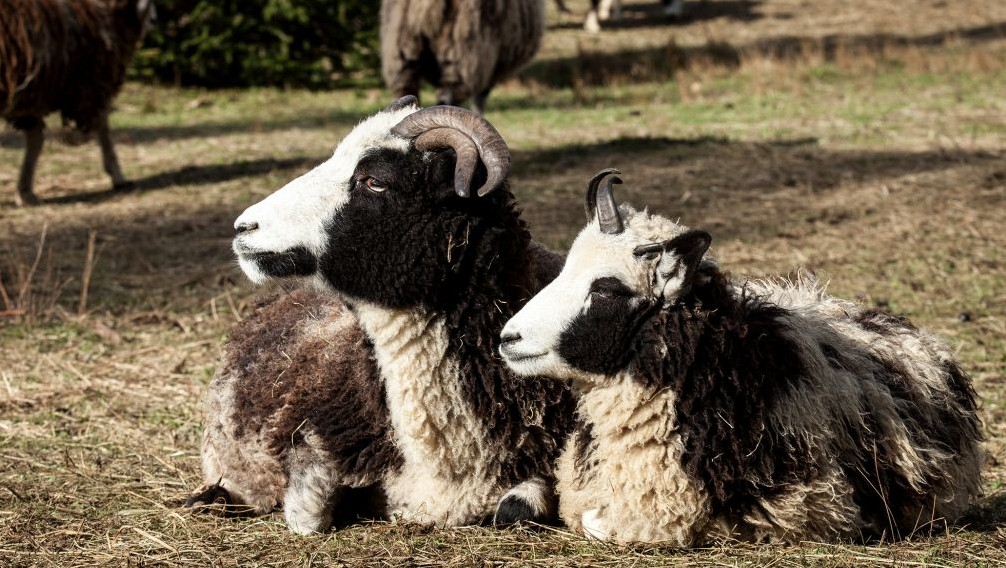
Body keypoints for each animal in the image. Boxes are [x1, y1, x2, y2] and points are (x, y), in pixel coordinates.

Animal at [0, 0, 154, 206]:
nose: (153, 19)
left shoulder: (32, 94)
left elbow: (36, 138)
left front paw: (25, 192)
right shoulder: (89, 83)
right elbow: (101, 125)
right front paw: (117, 176)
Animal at [380, 0, 545, 114]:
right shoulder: (489, 71)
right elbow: (479, 101)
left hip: (399, 52)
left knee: (405, 92)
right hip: (464, 53)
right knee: (446, 98)